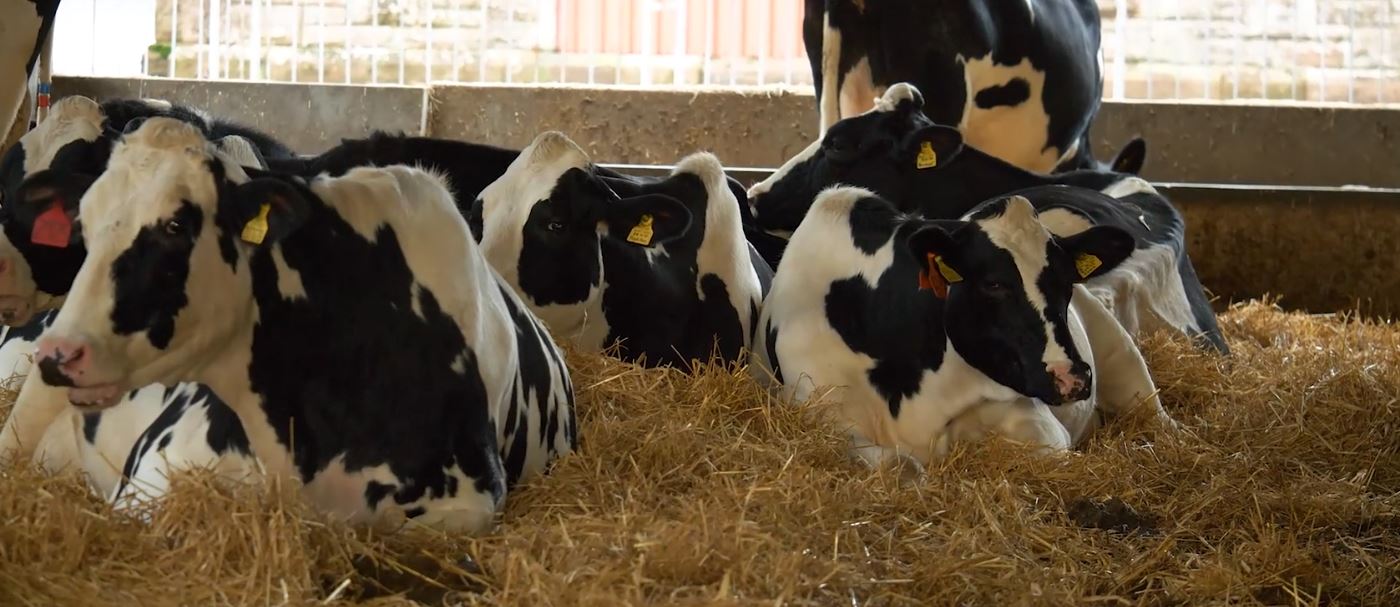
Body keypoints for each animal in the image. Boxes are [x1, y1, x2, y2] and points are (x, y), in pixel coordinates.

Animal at [752, 188, 1171, 474]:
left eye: (1066, 282)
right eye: (993, 284)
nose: (1073, 376)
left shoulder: (1028, 414)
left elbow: (1051, 447)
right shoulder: (822, 410)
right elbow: (901, 465)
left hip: (1117, 348)